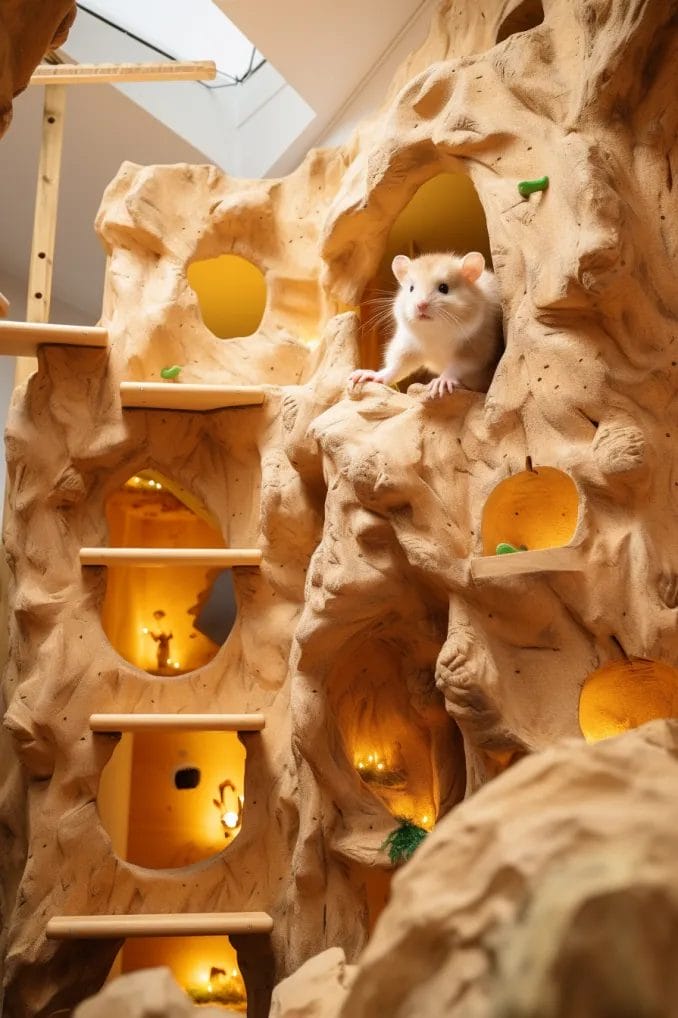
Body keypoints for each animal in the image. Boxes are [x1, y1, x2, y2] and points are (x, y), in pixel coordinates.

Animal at [349, 251, 502, 397]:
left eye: (444, 288)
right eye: (411, 288)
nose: (420, 305)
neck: (434, 331)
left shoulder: (476, 349)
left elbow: (457, 367)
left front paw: (440, 383)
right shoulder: (406, 346)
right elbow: (396, 367)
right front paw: (365, 375)